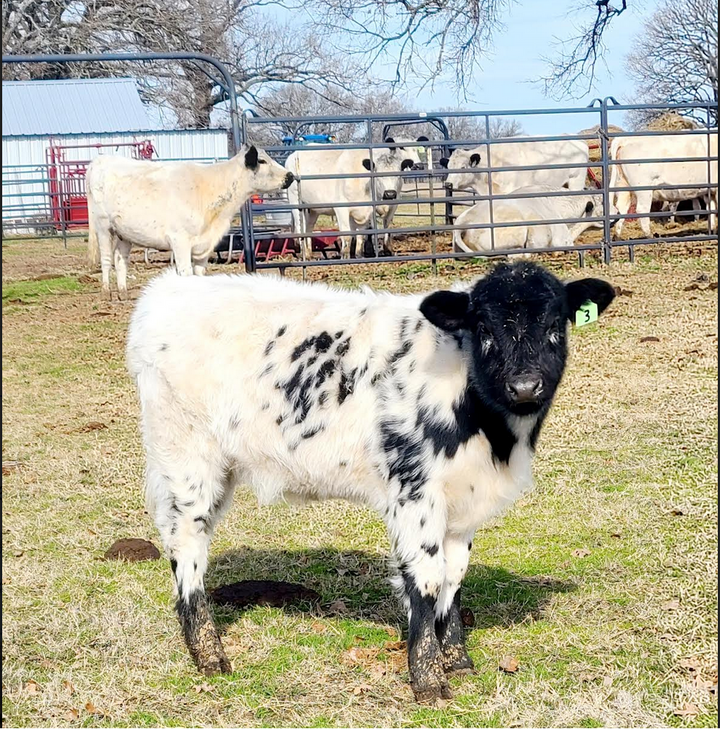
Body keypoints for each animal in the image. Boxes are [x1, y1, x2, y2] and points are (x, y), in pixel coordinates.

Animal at [86, 145, 294, 300]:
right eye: (262, 161)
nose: (290, 176)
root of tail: (100, 160)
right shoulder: (180, 241)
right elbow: (185, 272)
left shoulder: (205, 245)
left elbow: (199, 273)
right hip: (103, 227)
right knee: (106, 259)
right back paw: (106, 292)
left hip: (124, 234)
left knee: (120, 260)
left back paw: (123, 293)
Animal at [126, 261, 615, 703]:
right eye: (483, 326)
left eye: (555, 323)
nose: (525, 386)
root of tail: (167, 291)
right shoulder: (414, 490)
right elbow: (427, 580)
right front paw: (428, 679)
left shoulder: (462, 501)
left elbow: (455, 576)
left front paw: (457, 659)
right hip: (186, 460)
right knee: (186, 550)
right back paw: (209, 655)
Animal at [285, 138, 425, 260]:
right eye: (378, 175)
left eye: (398, 174)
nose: (390, 193)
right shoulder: (341, 208)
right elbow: (347, 234)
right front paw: (345, 255)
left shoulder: (370, 210)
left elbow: (362, 235)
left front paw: (359, 254)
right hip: (296, 201)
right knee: (300, 227)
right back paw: (304, 254)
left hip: (313, 208)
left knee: (308, 227)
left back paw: (309, 253)